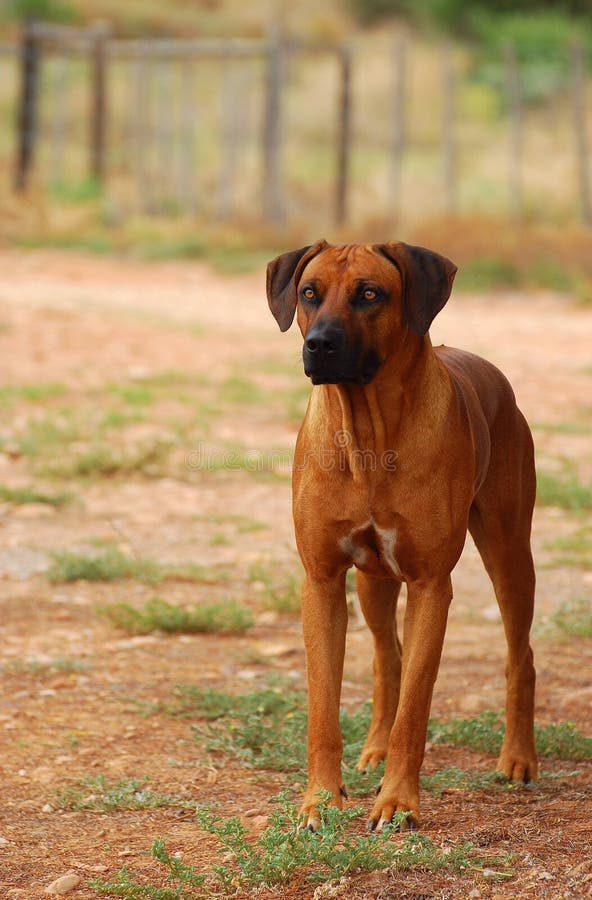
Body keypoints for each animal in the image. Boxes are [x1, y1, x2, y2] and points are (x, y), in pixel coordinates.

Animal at [266, 239, 540, 828]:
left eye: (371, 294)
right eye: (309, 293)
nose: (319, 346)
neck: (369, 433)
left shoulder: (431, 585)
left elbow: (415, 710)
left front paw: (397, 804)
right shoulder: (321, 580)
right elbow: (323, 709)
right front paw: (320, 800)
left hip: (509, 551)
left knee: (520, 656)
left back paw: (518, 758)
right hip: (373, 579)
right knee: (386, 656)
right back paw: (374, 747)